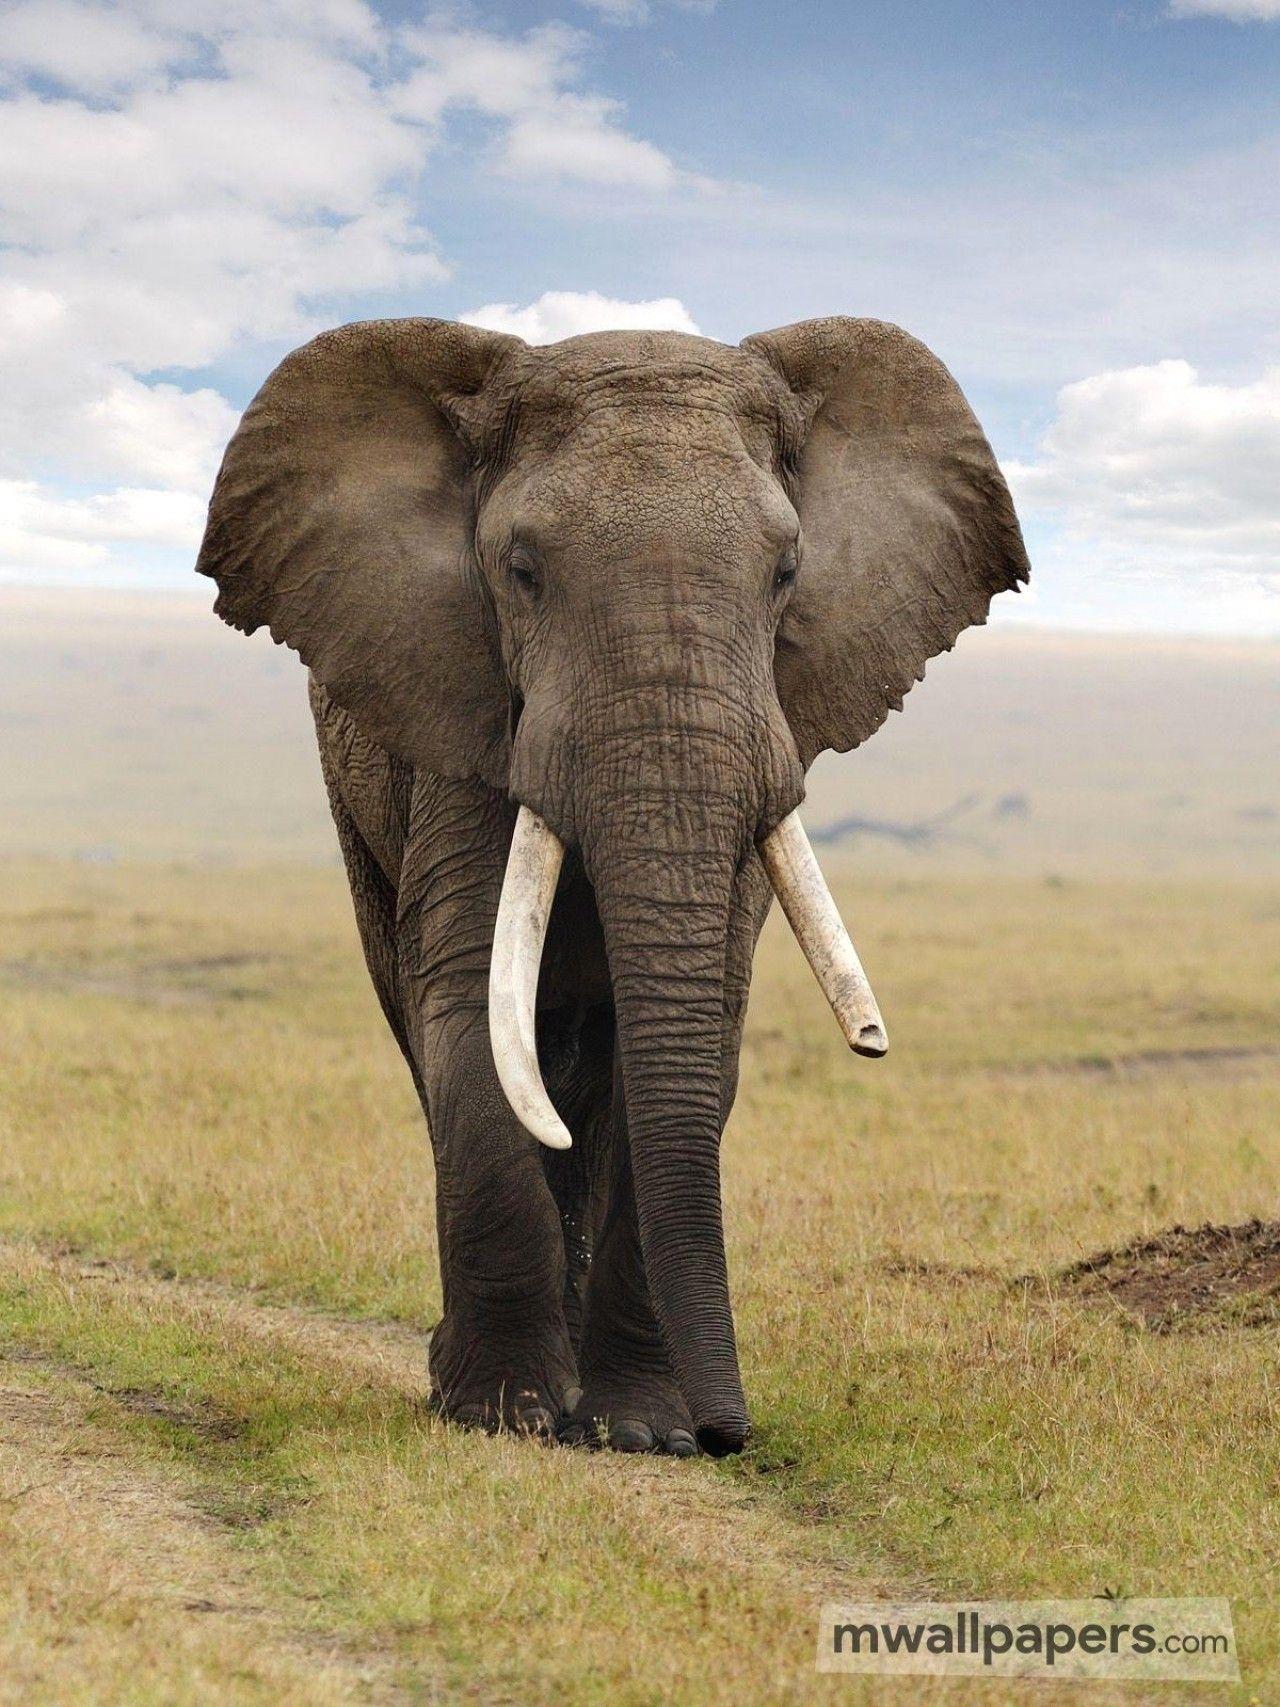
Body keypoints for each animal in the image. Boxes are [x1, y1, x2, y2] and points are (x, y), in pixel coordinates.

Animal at [196, 316, 1028, 1458]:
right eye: (521, 570)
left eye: (786, 571)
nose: (732, 1436)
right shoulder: (463, 718)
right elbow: (471, 1011)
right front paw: (500, 1415)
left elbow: (691, 1036)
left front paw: (640, 1431)